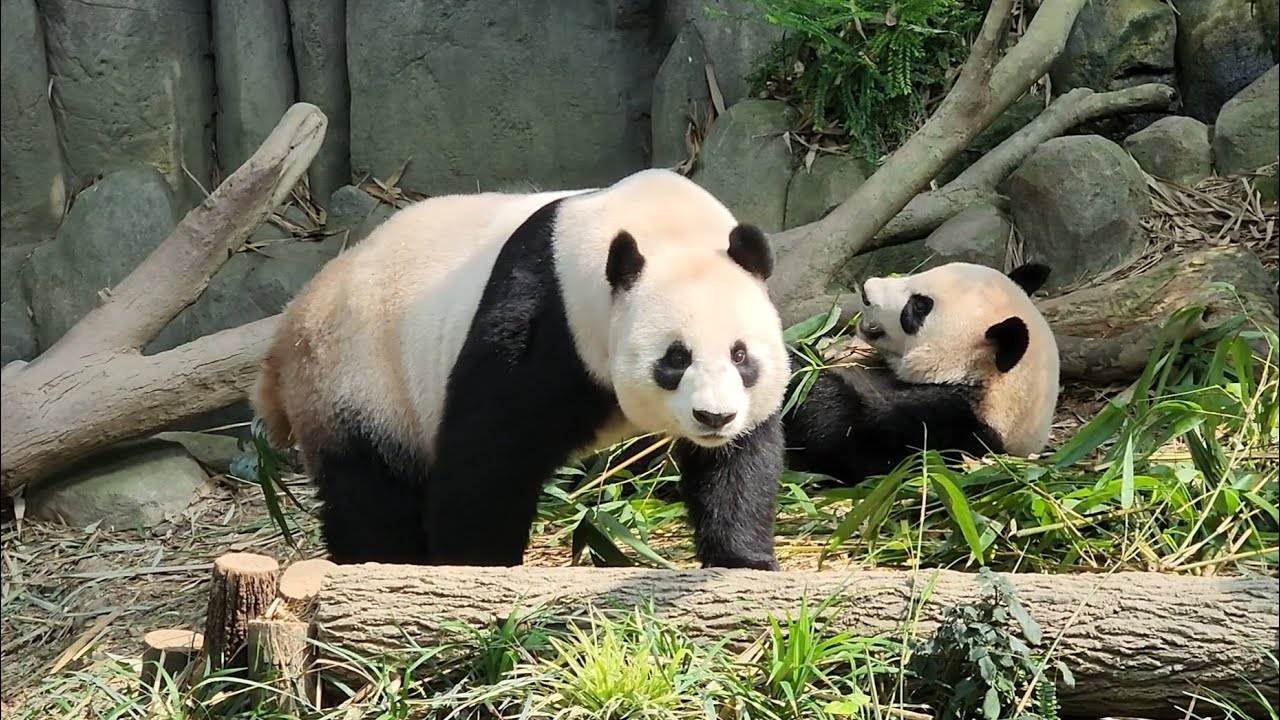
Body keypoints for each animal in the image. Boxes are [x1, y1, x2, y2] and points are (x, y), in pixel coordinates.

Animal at [252, 168, 792, 570]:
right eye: (675, 358)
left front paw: (744, 559)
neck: (662, 229)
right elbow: (489, 453)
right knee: (370, 486)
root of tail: (291, 325)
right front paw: (477, 565)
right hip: (359, 376)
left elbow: (740, 463)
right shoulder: (547, 317)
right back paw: (383, 560)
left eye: (740, 355)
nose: (714, 418)